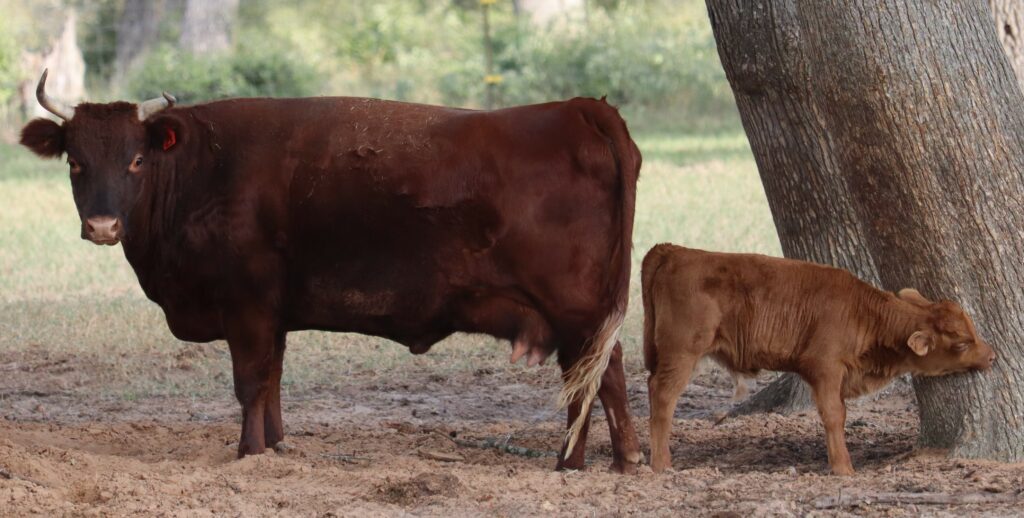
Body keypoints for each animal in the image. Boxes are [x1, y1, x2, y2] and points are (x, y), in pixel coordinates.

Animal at [20, 70, 644, 473]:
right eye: (76, 162)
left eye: (136, 159)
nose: (102, 225)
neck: (202, 170)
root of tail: (577, 108)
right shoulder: (273, 314)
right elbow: (272, 378)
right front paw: (275, 446)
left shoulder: (246, 305)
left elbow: (250, 381)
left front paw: (247, 453)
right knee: (596, 376)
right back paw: (604, 461)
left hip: (575, 309)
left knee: (598, 375)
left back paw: (587, 461)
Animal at [640, 244, 995, 475]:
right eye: (962, 342)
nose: (991, 355)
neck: (864, 314)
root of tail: (674, 251)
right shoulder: (825, 369)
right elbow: (833, 415)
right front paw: (843, 468)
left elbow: (841, 412)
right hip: (683, 352)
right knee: (663, 395)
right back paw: (662, 464)